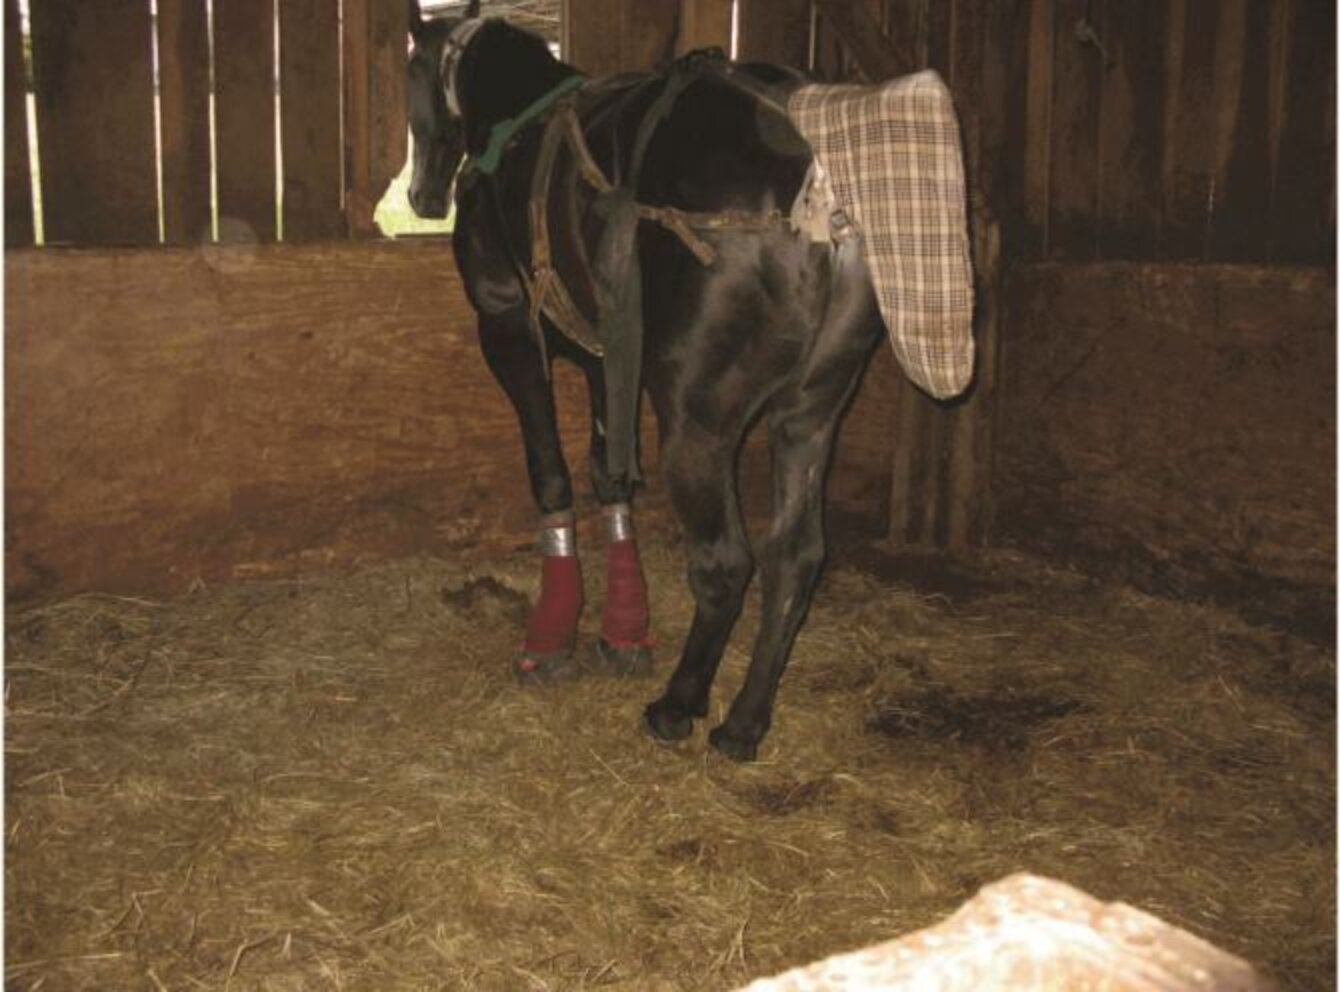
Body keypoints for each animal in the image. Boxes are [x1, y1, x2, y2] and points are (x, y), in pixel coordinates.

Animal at [406, 1, 887, 761]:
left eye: (411, 75)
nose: (422, 195)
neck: (518, 118)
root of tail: (811, 196)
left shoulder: (508, 329)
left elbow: (552, 476)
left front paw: (554, 633)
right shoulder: (607, 356)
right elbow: (610, 475)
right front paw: (624, 627)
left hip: (697, 423)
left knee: (725, 563)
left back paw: (678, 704)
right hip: (810, 416)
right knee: (795, 556)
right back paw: (743, 723)